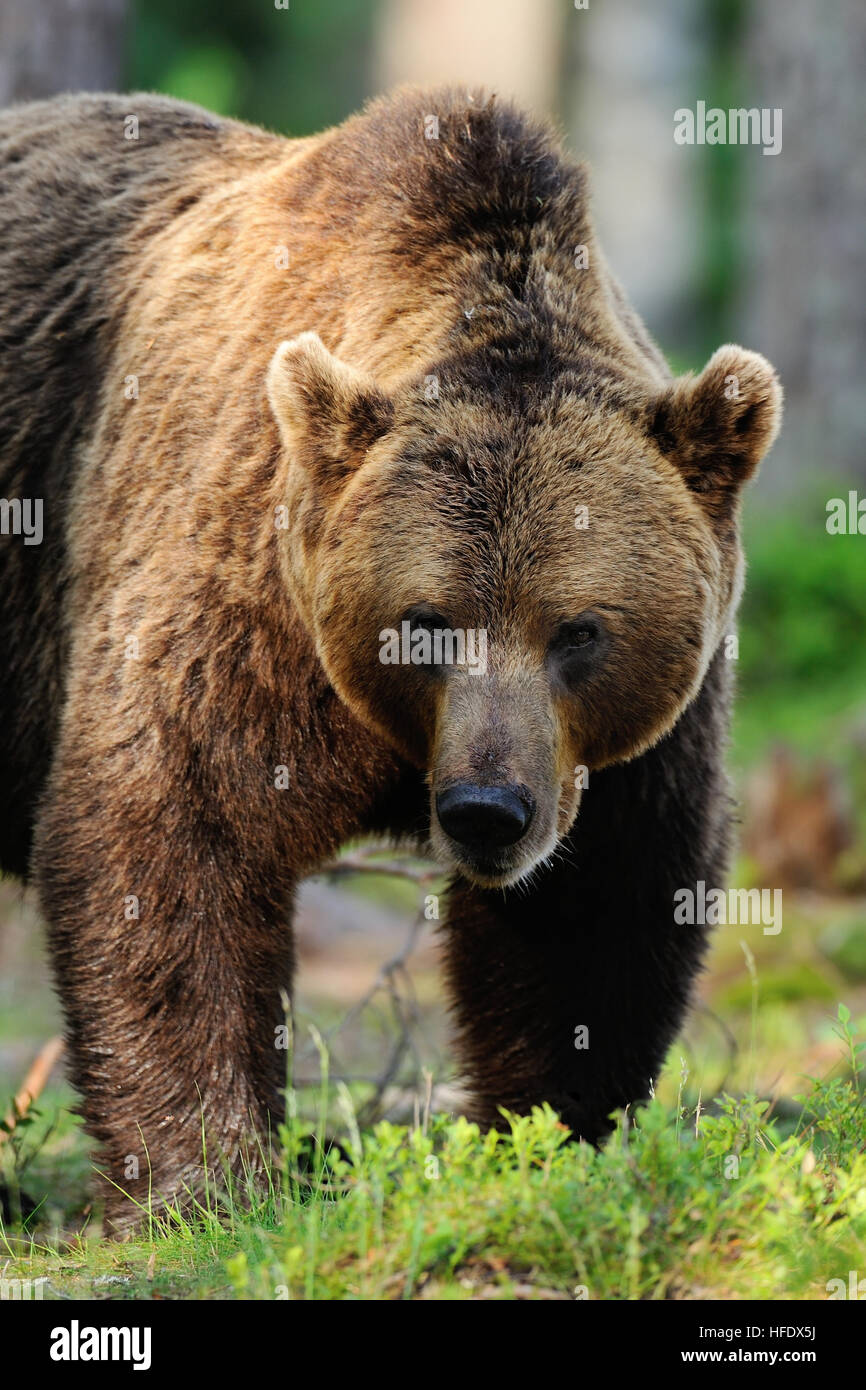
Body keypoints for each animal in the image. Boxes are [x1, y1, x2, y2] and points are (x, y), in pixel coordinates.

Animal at [0, 85, 782, 1229]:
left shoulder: (631, 744)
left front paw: (550, 1139)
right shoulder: (238, 595)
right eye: (425, 620)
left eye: (579, 629)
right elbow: (170, 831)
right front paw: (208, 1181)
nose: (485, 811)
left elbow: (594, 914)